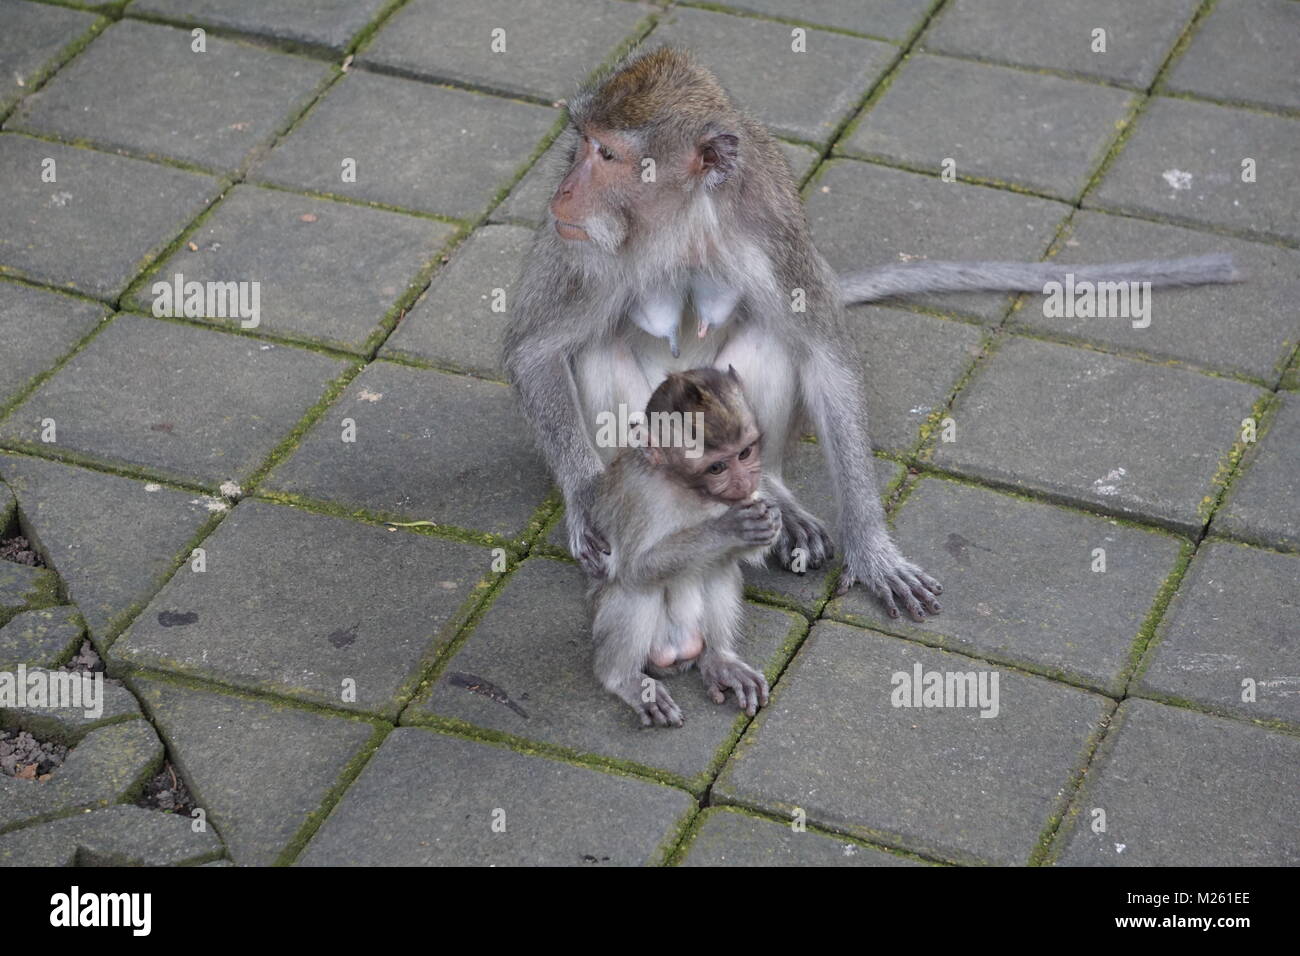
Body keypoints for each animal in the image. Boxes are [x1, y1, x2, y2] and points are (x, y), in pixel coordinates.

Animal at [502, 46, 1240, 623]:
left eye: (606, 153)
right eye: (581, 143)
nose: (563, 192)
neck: (681, 221)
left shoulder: (768, 234)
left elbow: (824, 356)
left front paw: (872, 545)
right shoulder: (583, 251)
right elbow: (534, 350)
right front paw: (588, 505)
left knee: (771, 340)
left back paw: (772, 492)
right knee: (602, 352)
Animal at [589, 367, 777, 727]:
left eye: (744, 452)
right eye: (717, 467)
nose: (744, 481)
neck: (686, 487)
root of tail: (678, 652)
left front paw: (773, 519)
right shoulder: (640, 494)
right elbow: (636, 567)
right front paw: (729, 528)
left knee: (718, 566)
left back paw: (719, 660)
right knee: (636, 587)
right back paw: (623, 679)